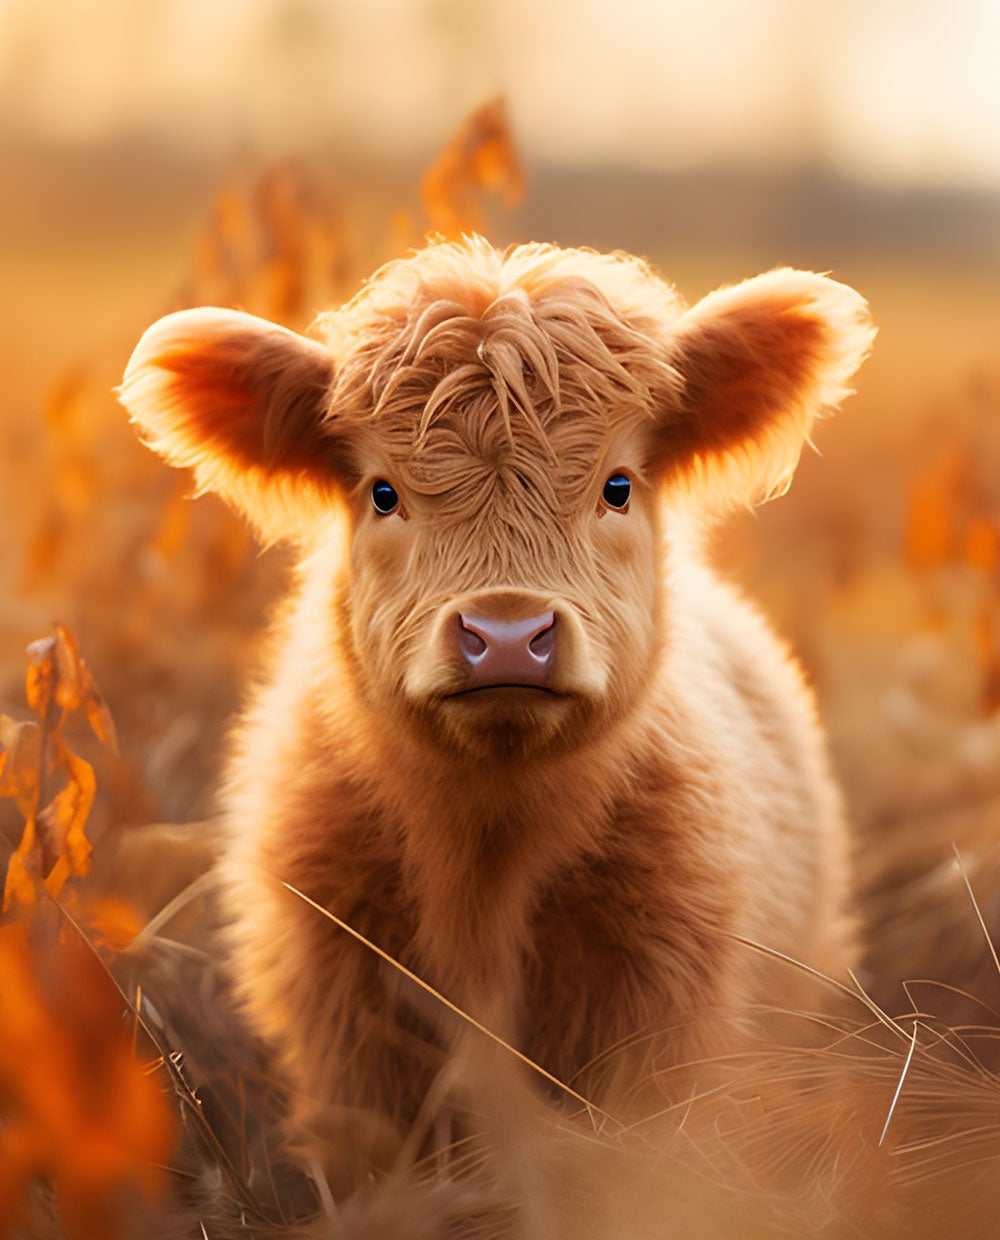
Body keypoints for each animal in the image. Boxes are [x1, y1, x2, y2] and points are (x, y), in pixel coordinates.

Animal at [119, 236, 874, 1195]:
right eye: (382, 493)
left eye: (618, 486)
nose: (508, 635)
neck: (486, 844)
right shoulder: (347, 1027)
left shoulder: (662, 1013)